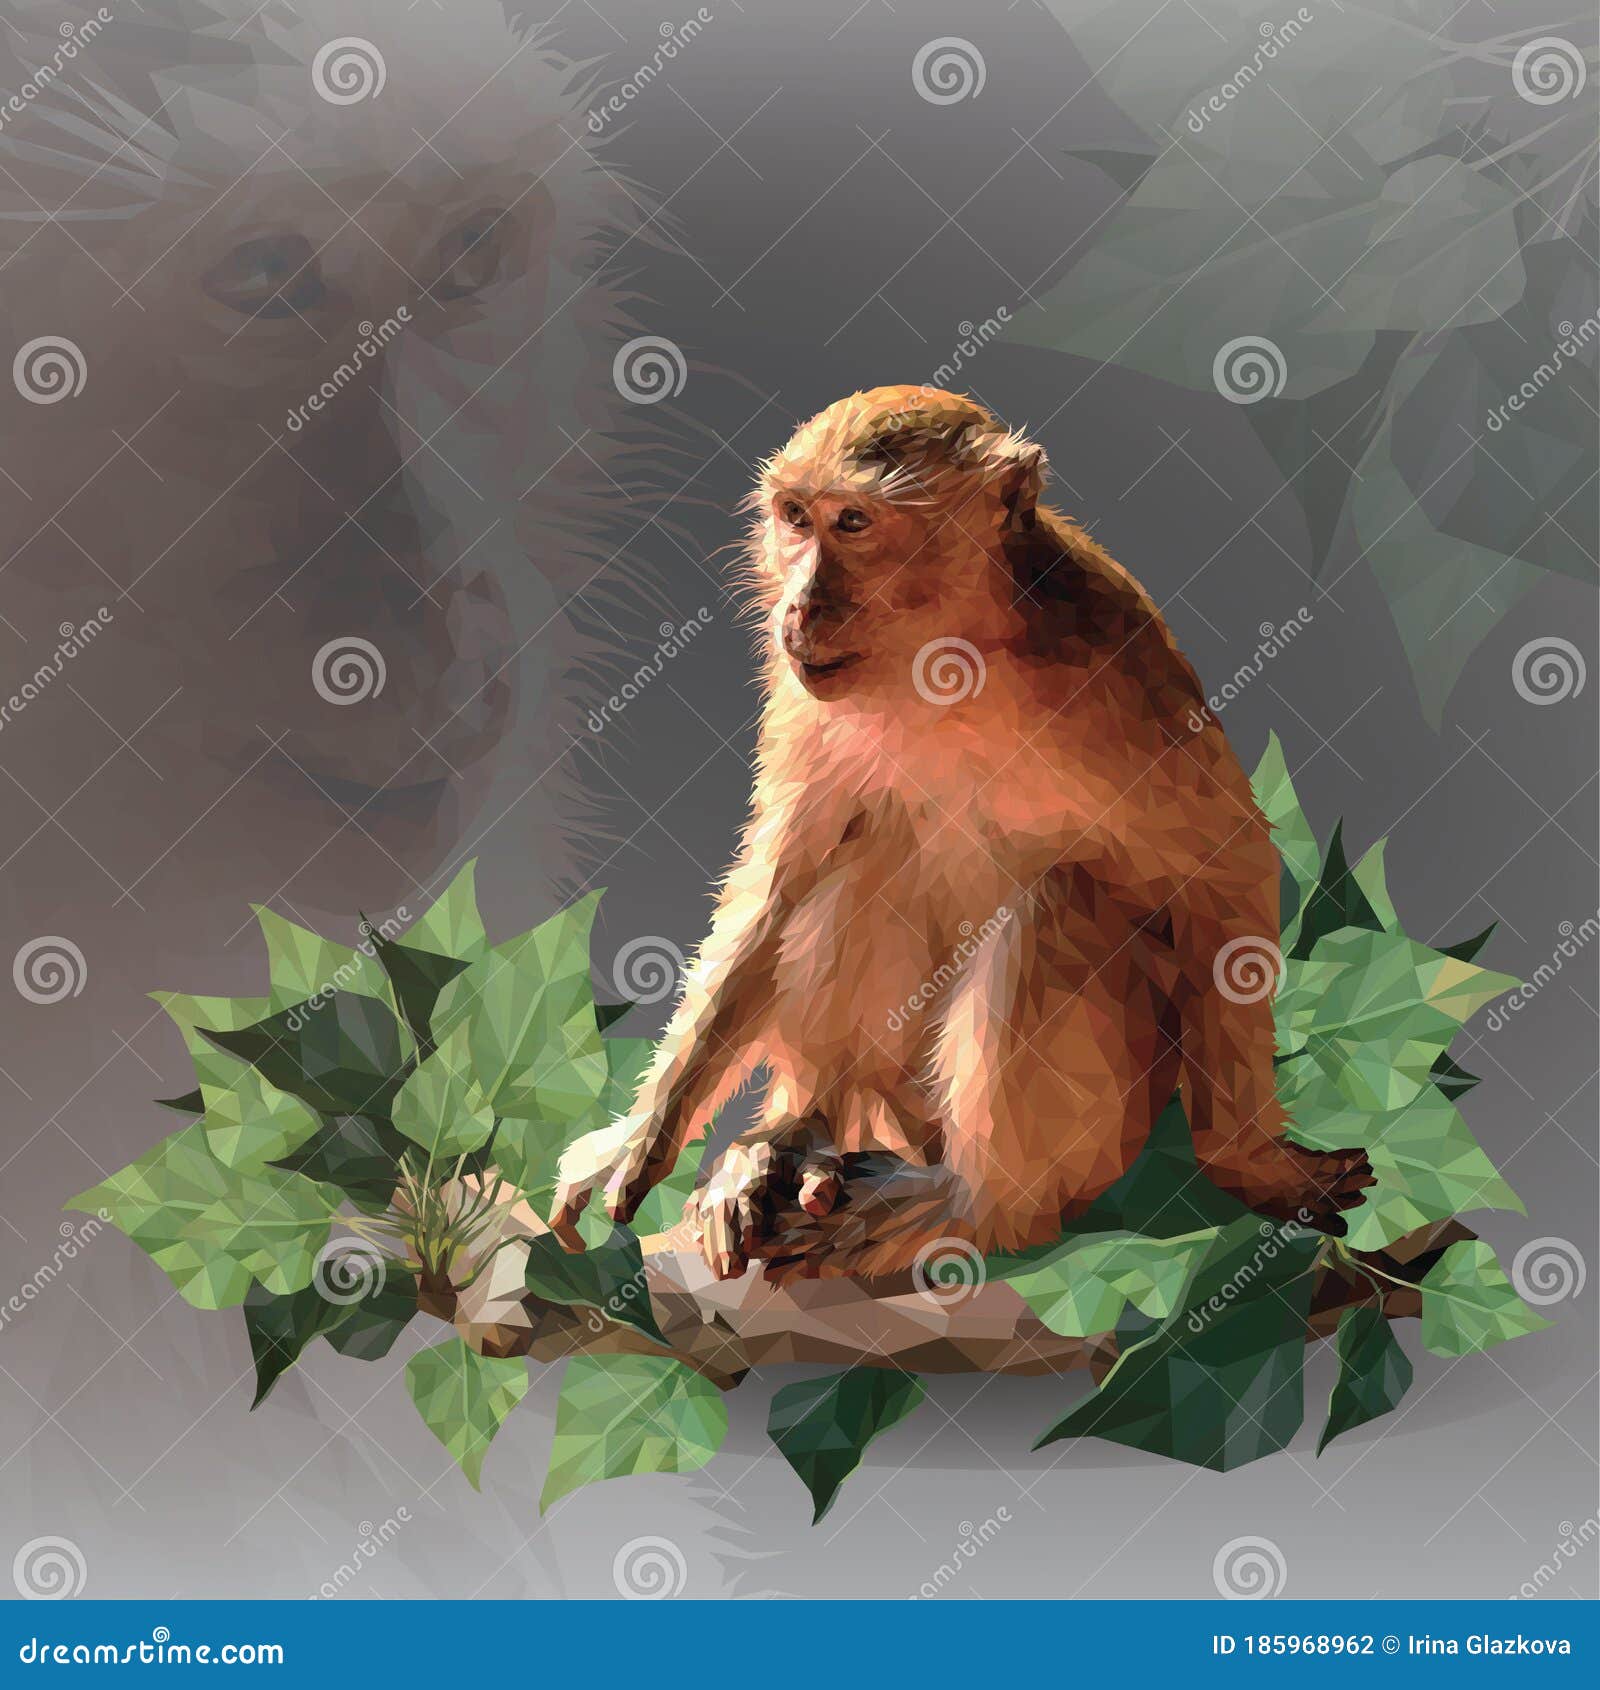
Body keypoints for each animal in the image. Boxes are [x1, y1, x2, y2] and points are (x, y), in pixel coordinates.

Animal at [548, 385, 1373, 1283]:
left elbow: (1222, 875)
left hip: (1111, 1118)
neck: (944, 662)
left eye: (854, 523)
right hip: (890, 1104)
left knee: (1057, 897)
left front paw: (1251, 1164)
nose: (799, 605)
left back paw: (971, 1207)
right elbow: (779, 881)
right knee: (857, 866)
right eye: (796, 518)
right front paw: (639, 1136)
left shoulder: (1120, 672)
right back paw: (796, 1136)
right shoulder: (803, 697)